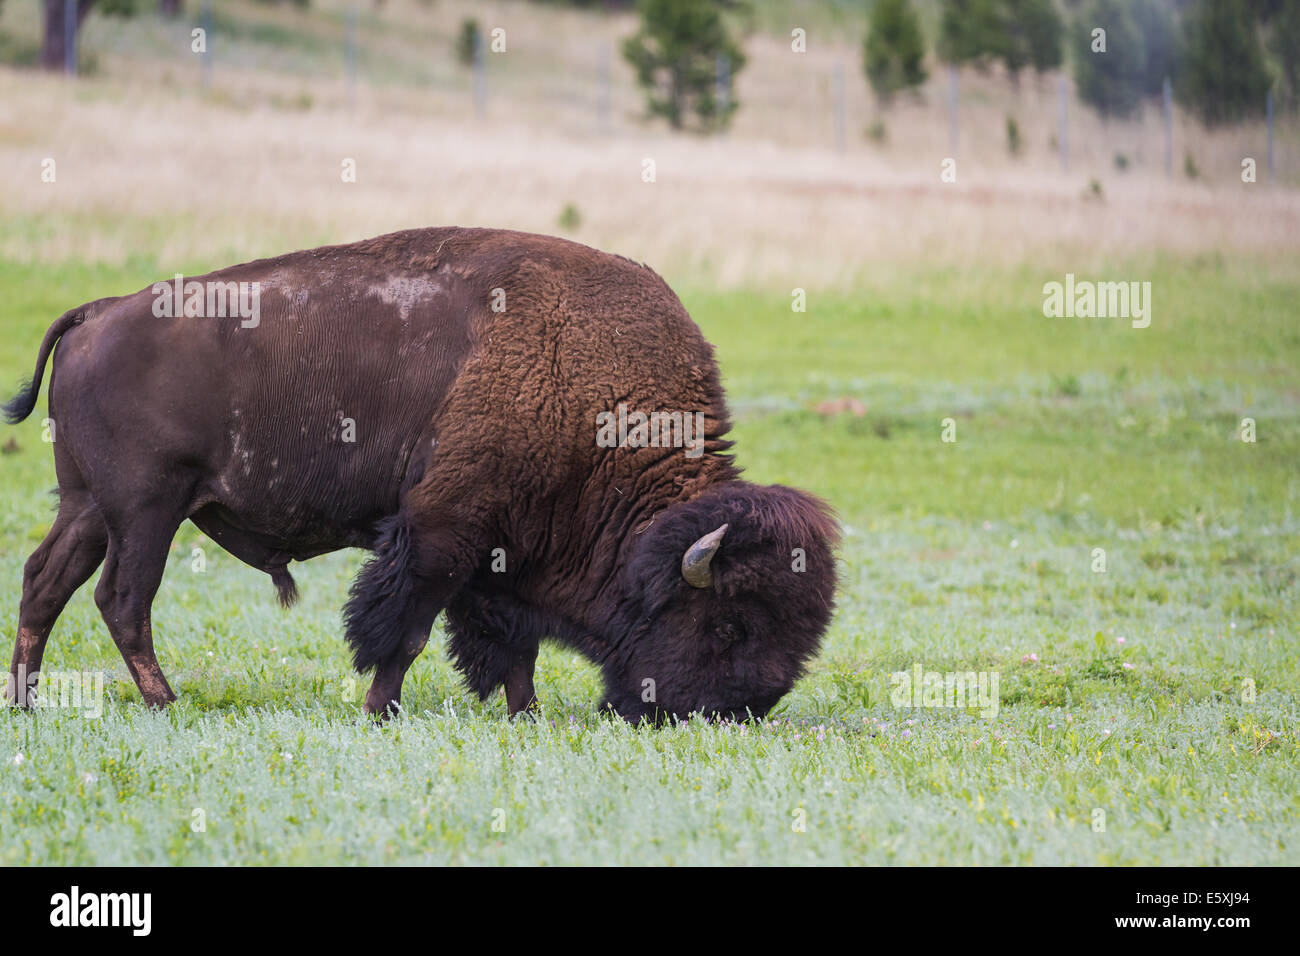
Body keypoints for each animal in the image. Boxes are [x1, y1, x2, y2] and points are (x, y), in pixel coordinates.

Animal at [5, 227, 838, 721]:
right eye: (728, 622)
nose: (736, 710)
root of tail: (101, 310)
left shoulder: (504, 553)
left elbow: (509, 642)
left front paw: (524, 713)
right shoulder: (442, 532)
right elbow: (403, 628)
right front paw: (383, 709)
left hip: (88, 506)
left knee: (46, 583)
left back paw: (27, 701)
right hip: (148, 507)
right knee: (123, 599)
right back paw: (163, 701)